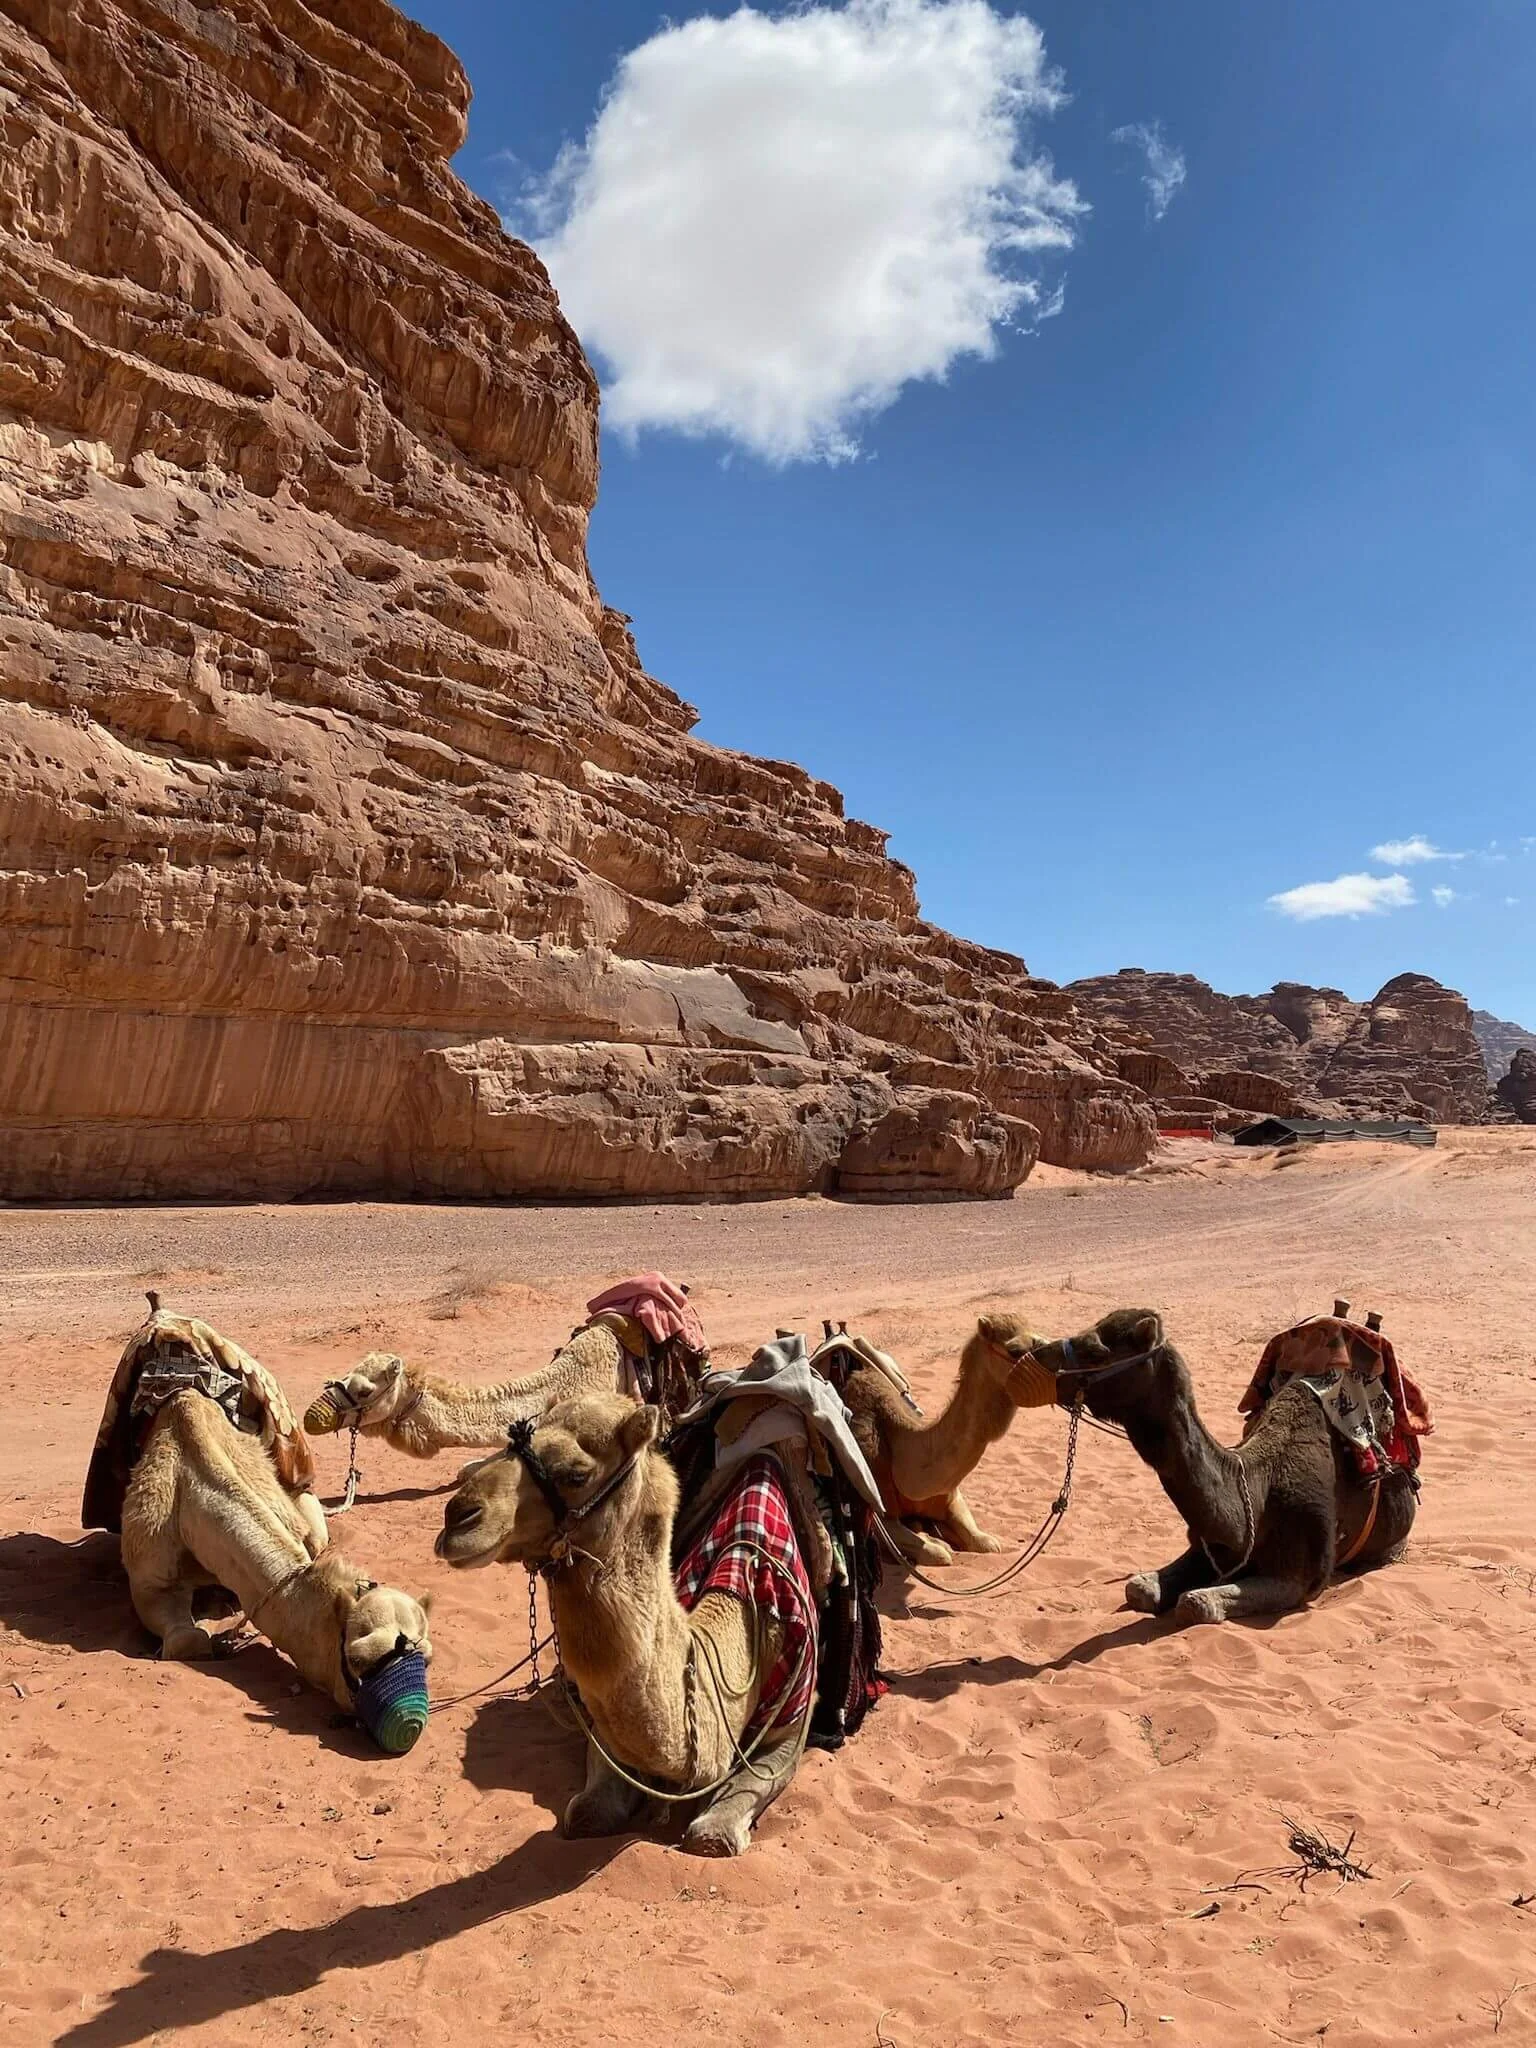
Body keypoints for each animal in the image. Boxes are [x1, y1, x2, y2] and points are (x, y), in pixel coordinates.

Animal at [437, 1392, 813, 1856]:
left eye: (576, 1474)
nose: (458, 1517)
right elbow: (587, 1812)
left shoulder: (793, 1718)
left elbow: (714, 1834)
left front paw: (715, 1830)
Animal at [836, 1316, 1054, 1567]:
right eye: (1015, 1350)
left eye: (1043, 1336)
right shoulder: (880, 1514)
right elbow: (937, 1555)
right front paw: (935, 1542)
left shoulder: (952, 1498)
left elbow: (986, 1543)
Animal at [1011, 1308, 1418, 1623]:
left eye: (1095, 1350)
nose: (1026, 1354)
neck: (1256, 1485)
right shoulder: (1209, 1544)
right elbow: (1138, 1588)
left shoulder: (1302, 1575)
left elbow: (1196, 1603)